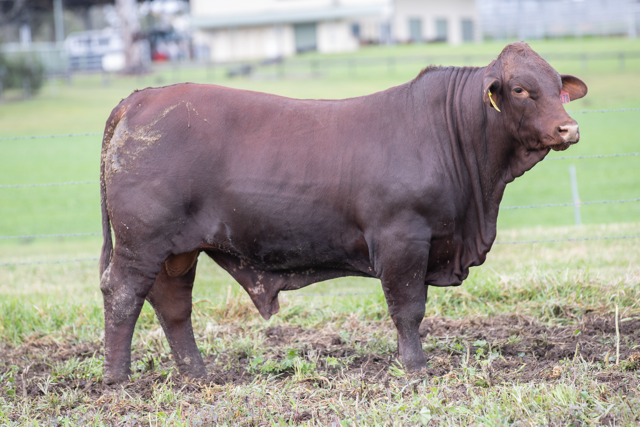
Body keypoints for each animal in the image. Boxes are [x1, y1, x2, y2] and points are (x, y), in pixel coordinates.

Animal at [99, 42, 587, 384]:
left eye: (558, 88)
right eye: (521, 89)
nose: (569, 128)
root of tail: (143, 98)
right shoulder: (402, 238)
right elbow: (408, 308)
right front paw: (416, 367)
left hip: (177, 250)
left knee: (173, 304)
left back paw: (197, 374)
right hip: (141, 241)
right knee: (123, 295)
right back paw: (118, 378)